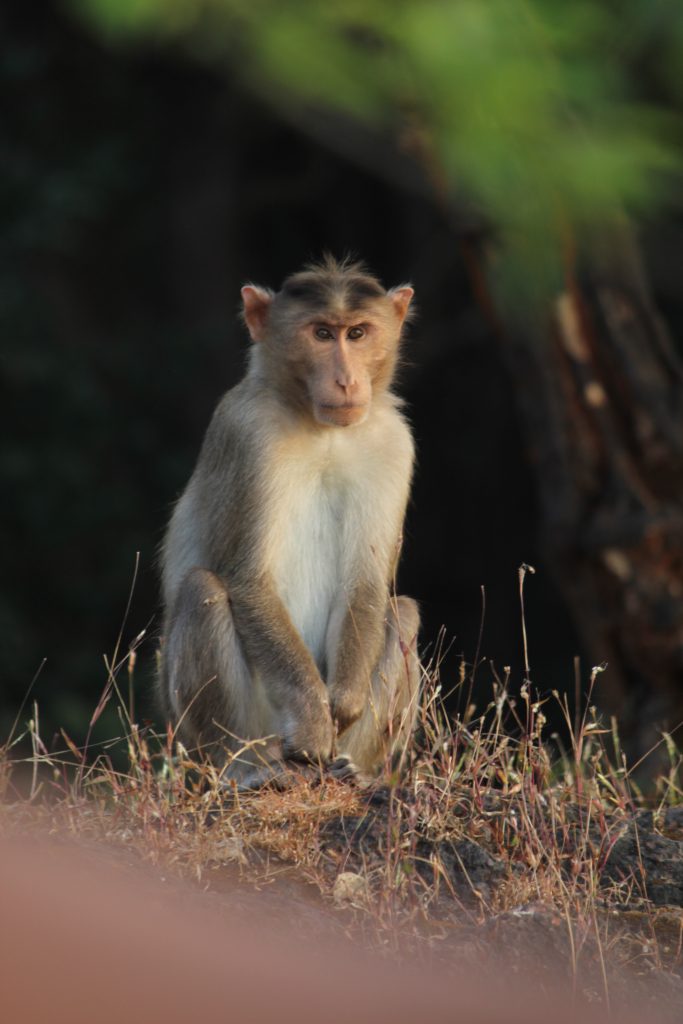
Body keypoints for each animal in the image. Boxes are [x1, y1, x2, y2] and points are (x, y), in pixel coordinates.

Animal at [159, 255, 420, 786]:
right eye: (321, 333)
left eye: (357, 333)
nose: (346, 381)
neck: (324, 431)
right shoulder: (247, 433)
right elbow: (248, 579)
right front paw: (315, 720)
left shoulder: (392, 442)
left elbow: (365, 586)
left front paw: (342, 704)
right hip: (221, 733)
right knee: (202, 589)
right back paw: (245, 771)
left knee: (403, 613)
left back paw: (352, 771)